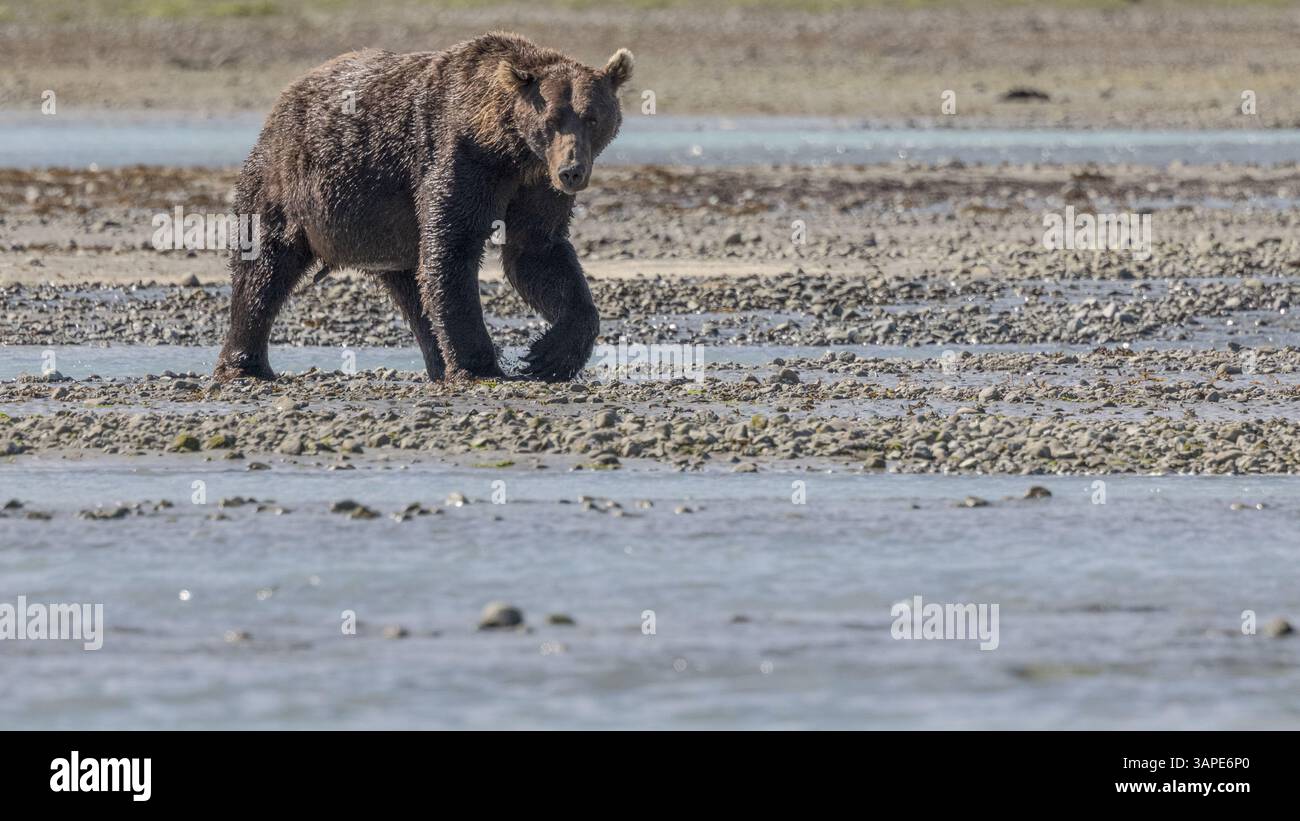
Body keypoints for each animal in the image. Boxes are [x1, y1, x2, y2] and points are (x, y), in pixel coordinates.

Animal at [213, 32, 633, 383]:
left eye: (592, 117)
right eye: (552, 119)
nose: (571, 171)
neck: (510, 150)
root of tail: (285, 97)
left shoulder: (535, 185)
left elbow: (538, 251)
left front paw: (548, 356)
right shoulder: (459, 158)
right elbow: (452, 249)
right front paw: (482, 365)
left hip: (385, 231)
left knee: (413, 288)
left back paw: (438, 364)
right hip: (286, 182)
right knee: (264, 266)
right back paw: (246, 364)